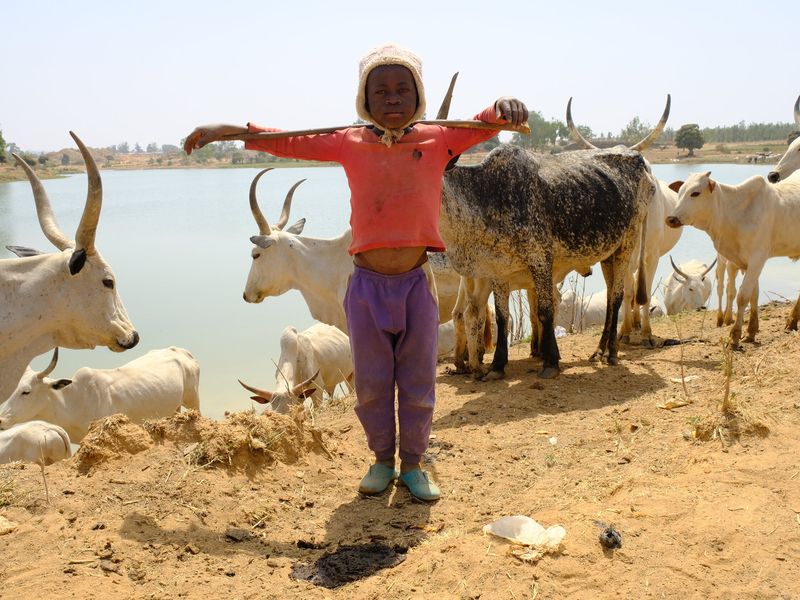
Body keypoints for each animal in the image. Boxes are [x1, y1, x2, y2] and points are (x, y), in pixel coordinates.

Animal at [567, 96, 677, 347]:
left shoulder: (652, 255)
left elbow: (643, 291)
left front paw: (646, 333)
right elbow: (626, 291)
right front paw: (625, 331)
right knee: (633, 287)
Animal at [666, 170, 800, 345]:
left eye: (695, 193)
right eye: (680, 192)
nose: (671, 219)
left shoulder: (757, 258)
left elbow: (743, 296)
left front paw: (735, 336)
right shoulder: (745, 262)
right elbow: (753, 295)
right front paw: (751, 331)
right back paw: (792, 321)